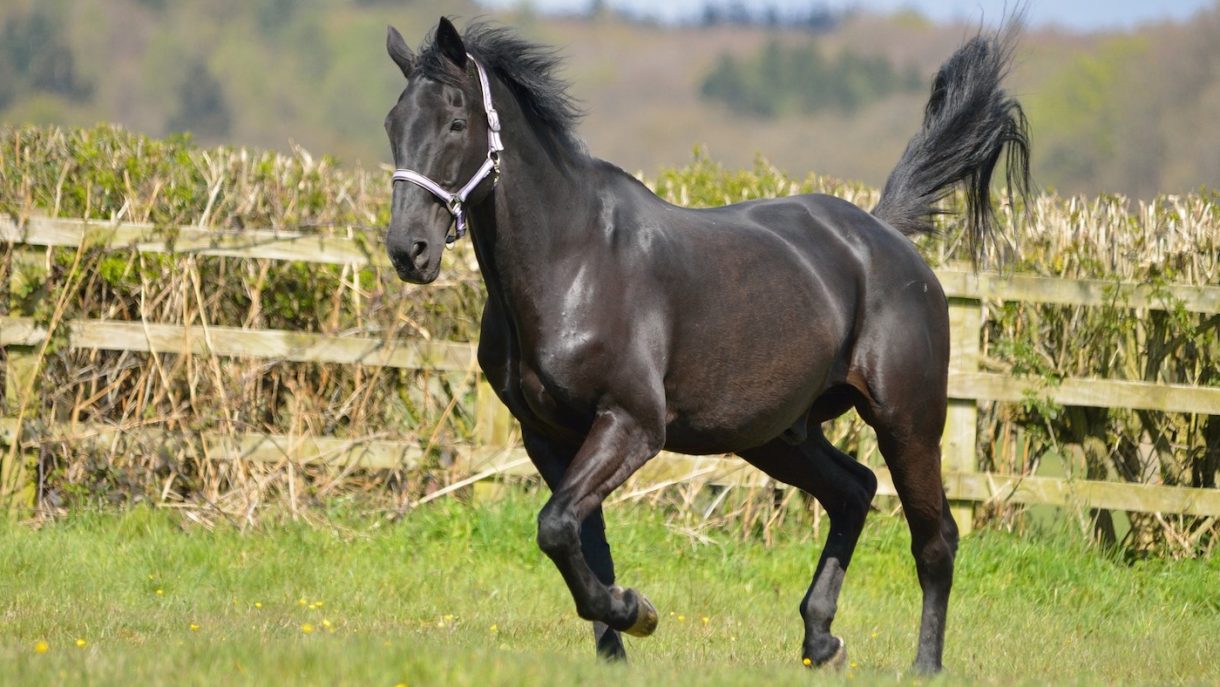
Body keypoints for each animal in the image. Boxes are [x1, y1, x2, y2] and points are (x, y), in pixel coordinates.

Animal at [382, 16, 1030, 674]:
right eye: (393, 123)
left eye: (456, 123)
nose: (408, 250)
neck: (574, 260)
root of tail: (887, 238)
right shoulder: (548, 436)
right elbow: (579, 537)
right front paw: (618, 641)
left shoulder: (632, 424)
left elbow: (556, 526)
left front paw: (637, 611)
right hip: (777, 435)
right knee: (854, 491)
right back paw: (821, 642)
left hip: (907, 421)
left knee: (935, 539)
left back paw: (923, 667)